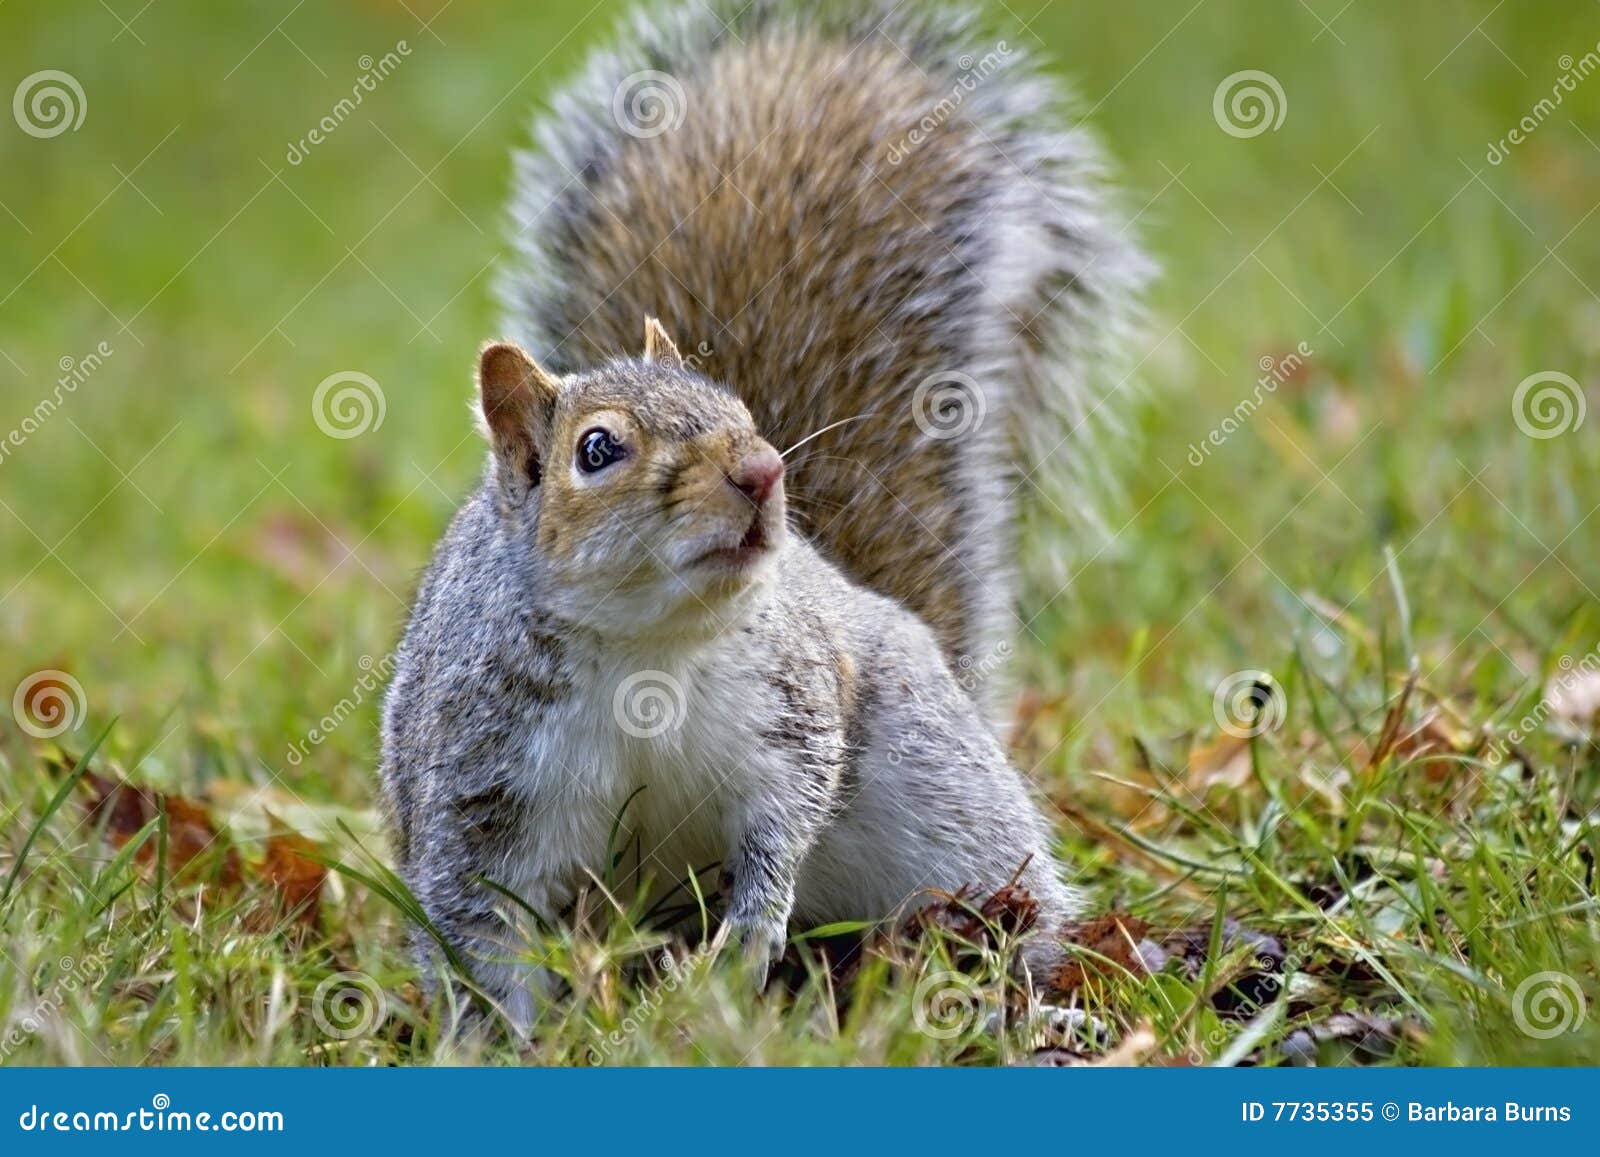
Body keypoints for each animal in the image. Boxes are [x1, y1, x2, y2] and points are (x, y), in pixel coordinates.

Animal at [380, 0, 1146, 1031]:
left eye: (739, 407)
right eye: (597, 449)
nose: (763, 470)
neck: (651, 650)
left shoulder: (792, 710)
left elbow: (784, 823)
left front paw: (747, 935)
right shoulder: (477, 780)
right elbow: (479, 926)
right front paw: (504, 1040)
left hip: (939, 792)